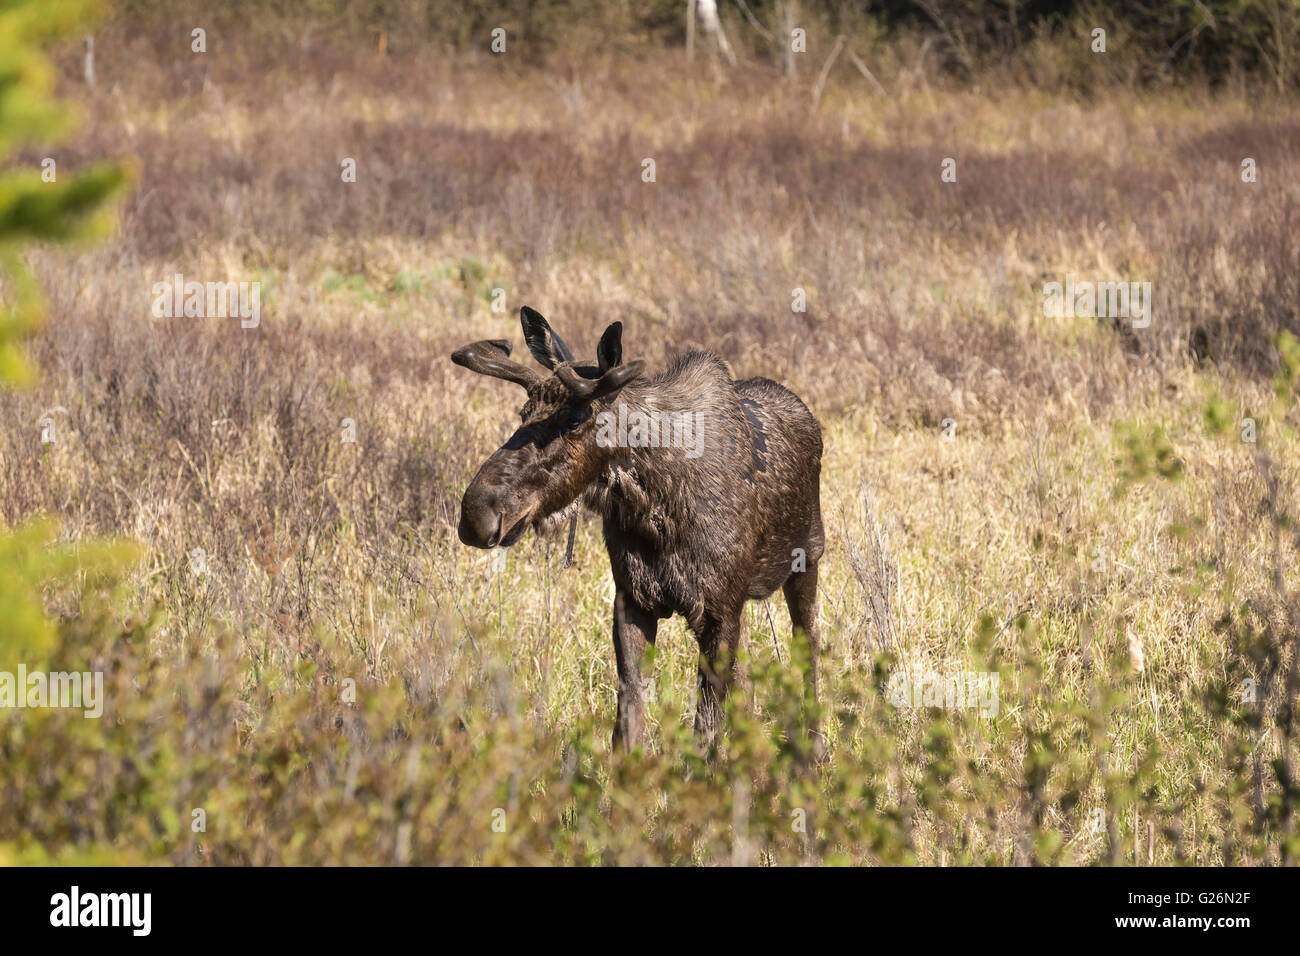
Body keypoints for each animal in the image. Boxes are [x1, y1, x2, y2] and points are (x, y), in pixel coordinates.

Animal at [452, 307, 825, 756]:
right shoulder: (634, 600)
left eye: (575, 420)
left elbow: (704, 734)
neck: (655, 511)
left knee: (808, 648)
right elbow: (628, 726)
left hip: (808, 559)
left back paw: (815, 750)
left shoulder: (718, 610)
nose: (477, 513)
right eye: (523, 413)